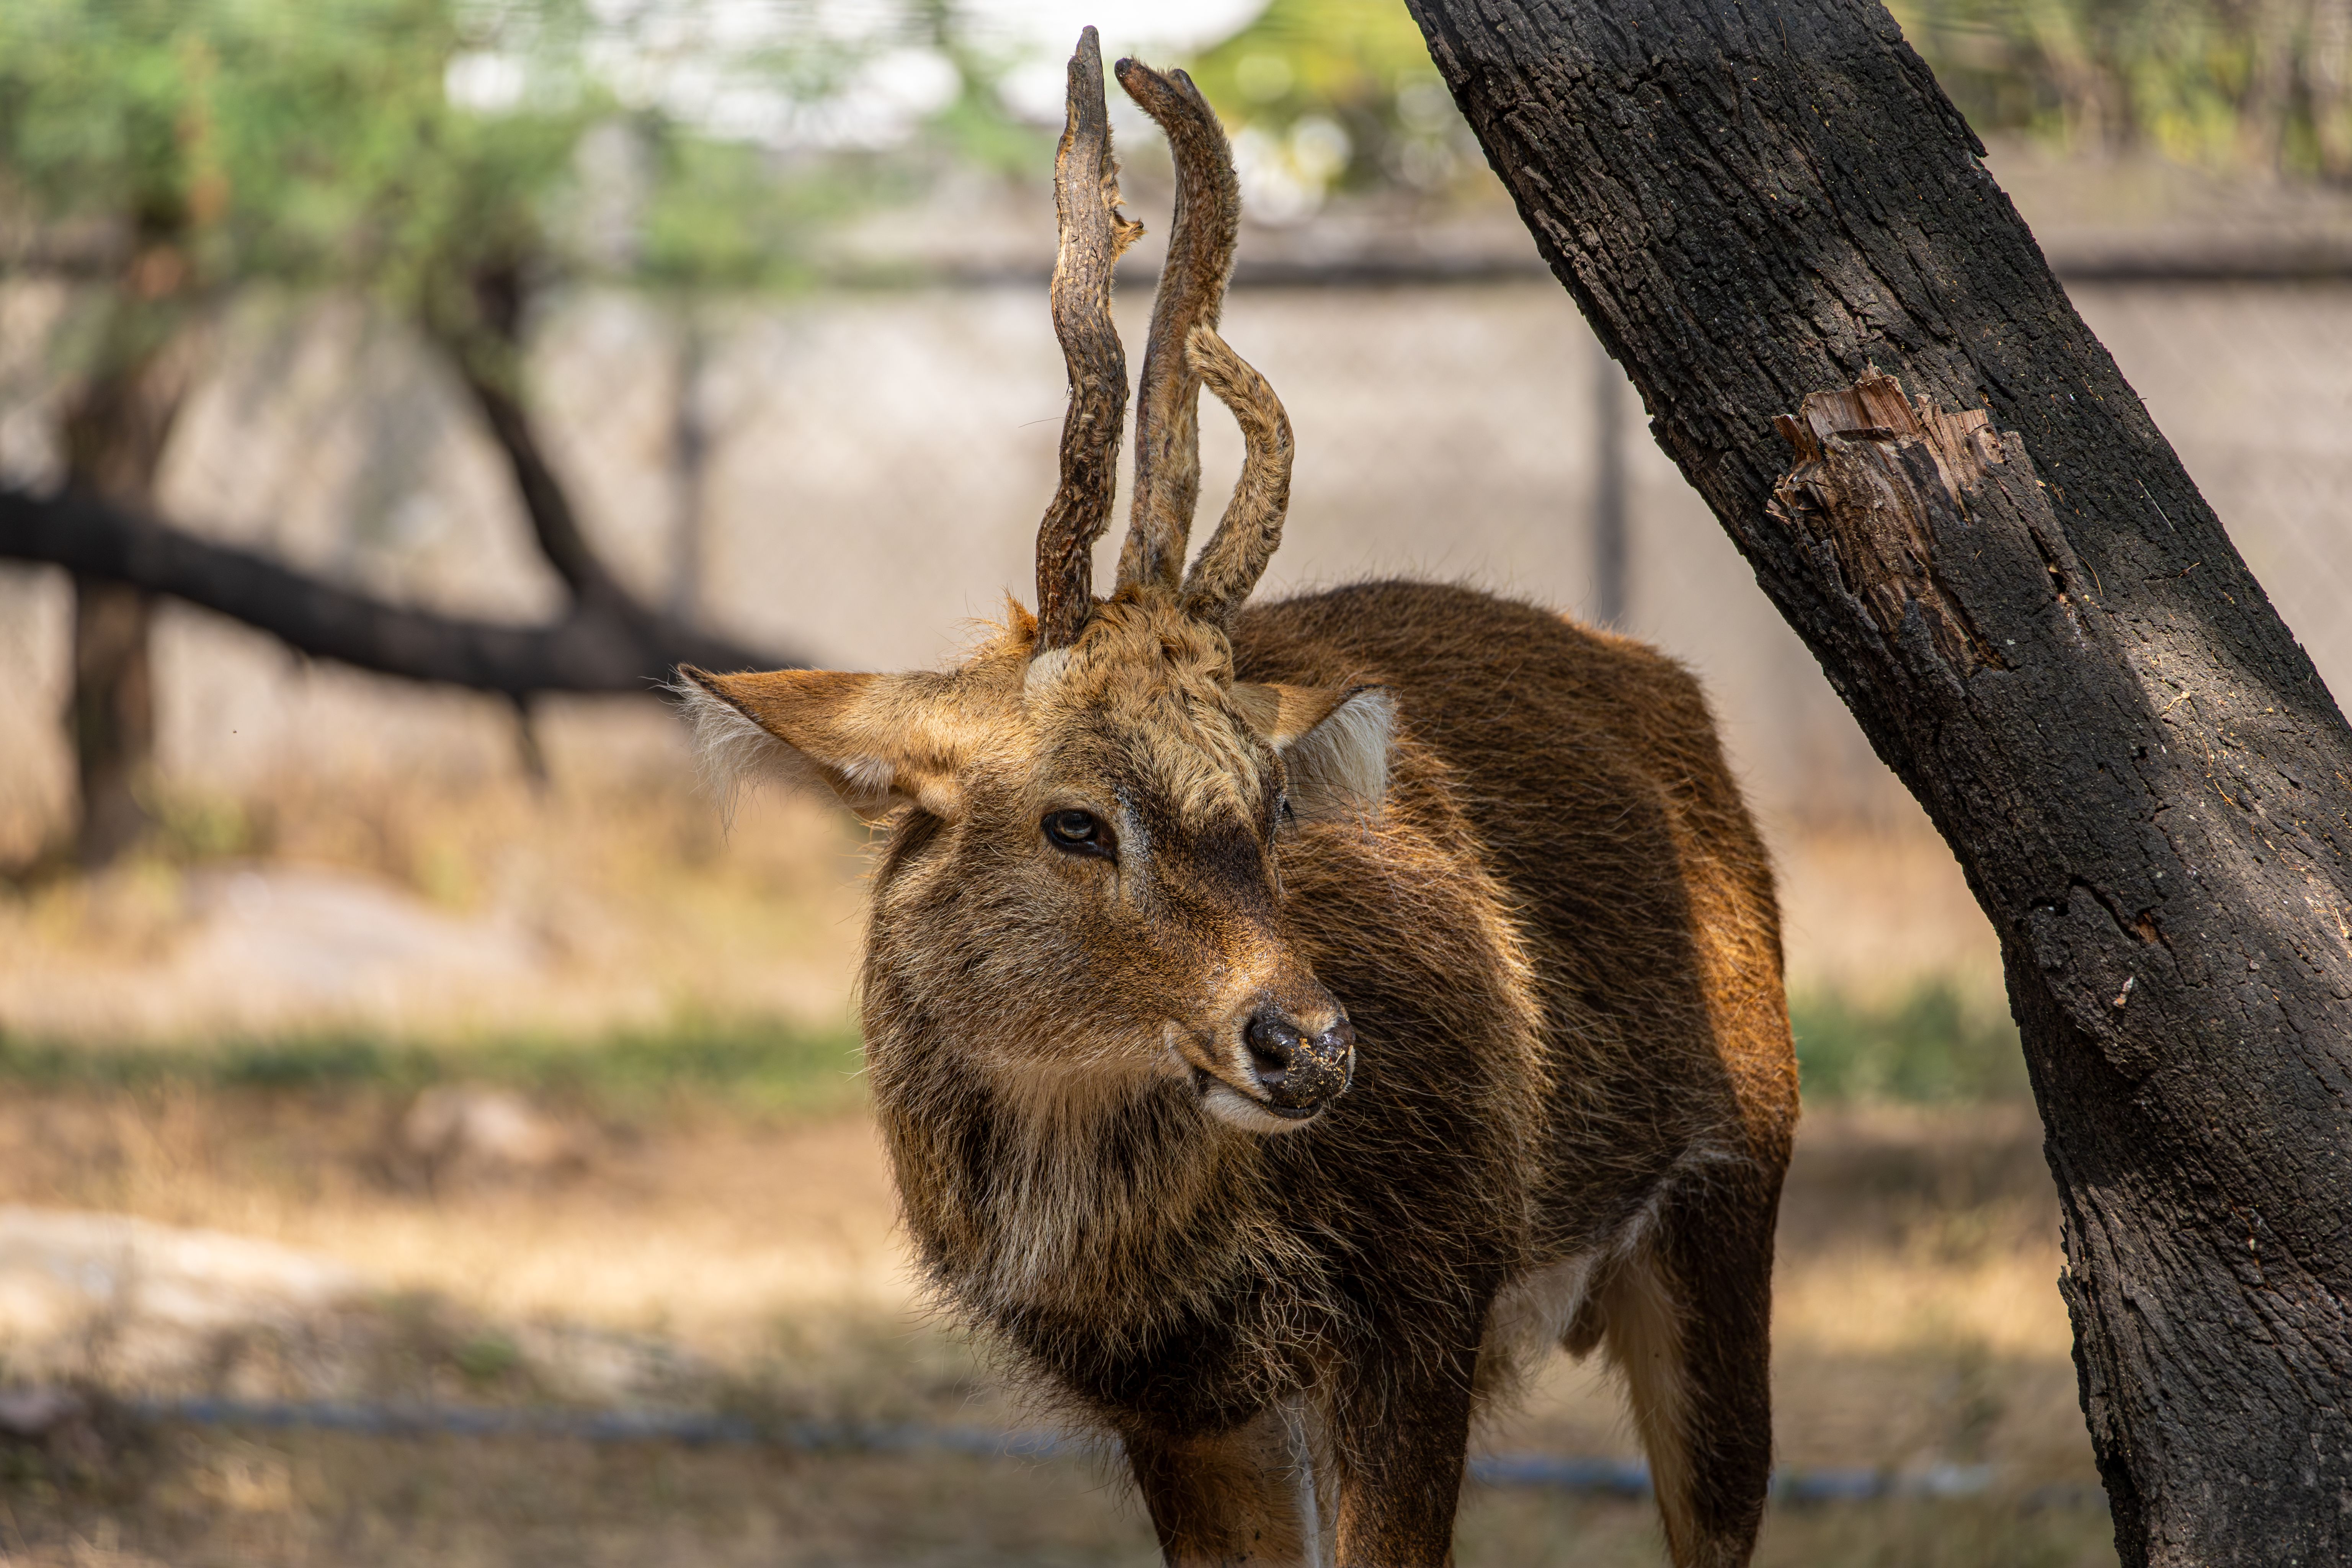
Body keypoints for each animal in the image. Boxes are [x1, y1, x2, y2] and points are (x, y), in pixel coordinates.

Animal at [675, 28, 1798, 1568]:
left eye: (1270, 807)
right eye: (1073, 818)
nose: (1307, 1044)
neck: (1144, 1246)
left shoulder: (1423, 1293)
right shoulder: (1169, 1390)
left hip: (1734, 1183)